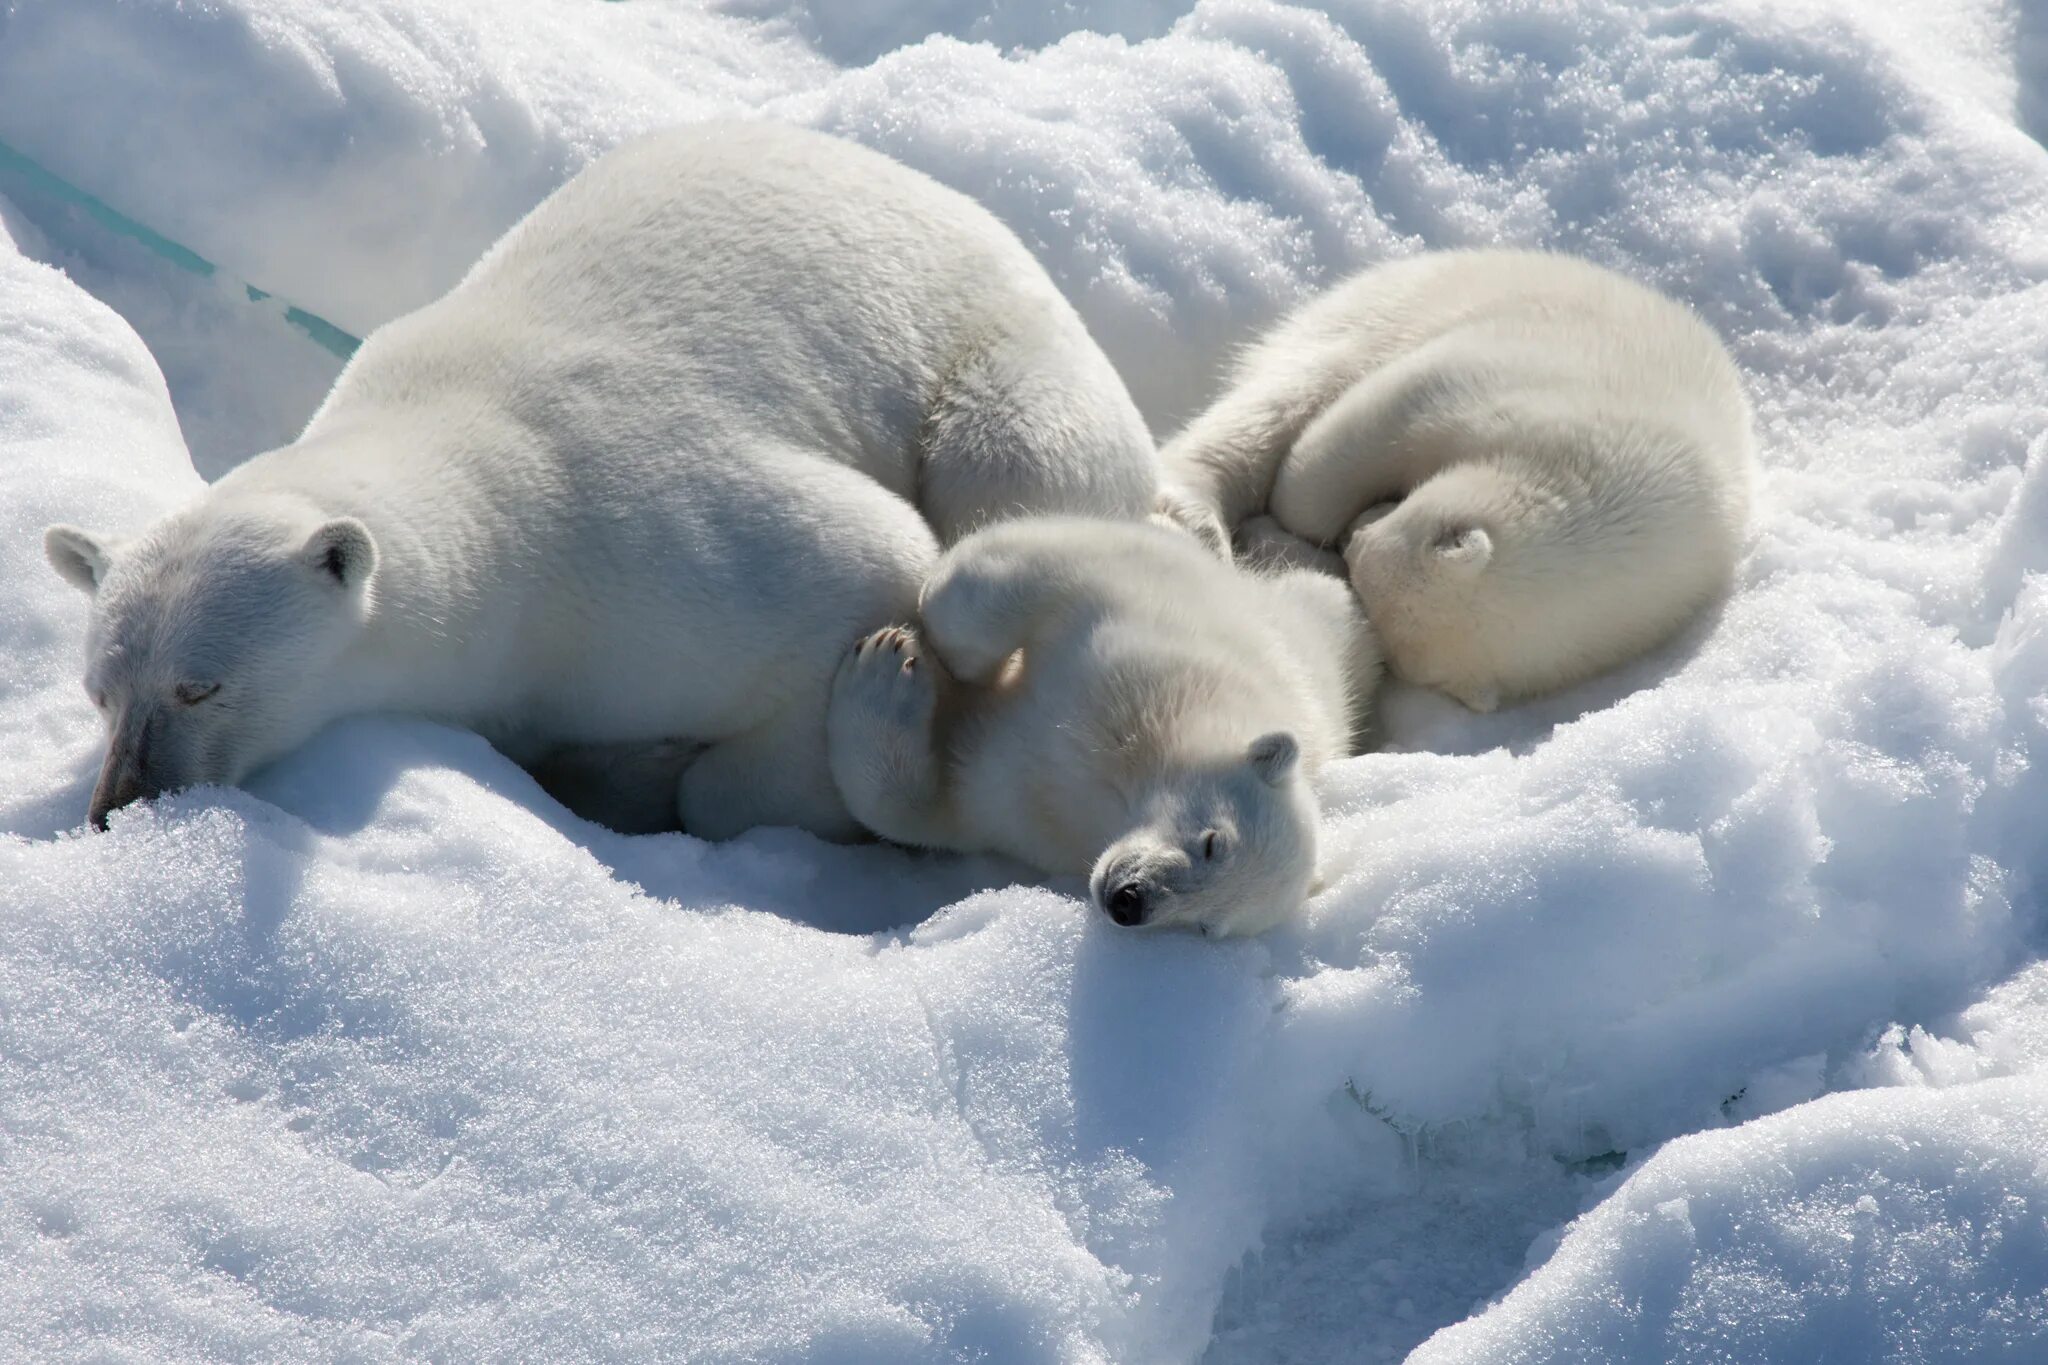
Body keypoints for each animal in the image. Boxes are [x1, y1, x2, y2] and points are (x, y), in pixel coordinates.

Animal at [48, 122, 1163, 839]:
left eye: (201, 684)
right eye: (101, 691)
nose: (117, 804)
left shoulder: (648, 551)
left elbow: (872, 565)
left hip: (998, 367)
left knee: (1010, 483)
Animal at [1163, 249, 1753, 712]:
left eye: (1361, 571)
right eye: (1366, 551)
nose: (1353, 536)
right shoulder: (1521, 386)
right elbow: (1373, 422)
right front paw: (1285, 522)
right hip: (1376, 311)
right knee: (1288, 394)